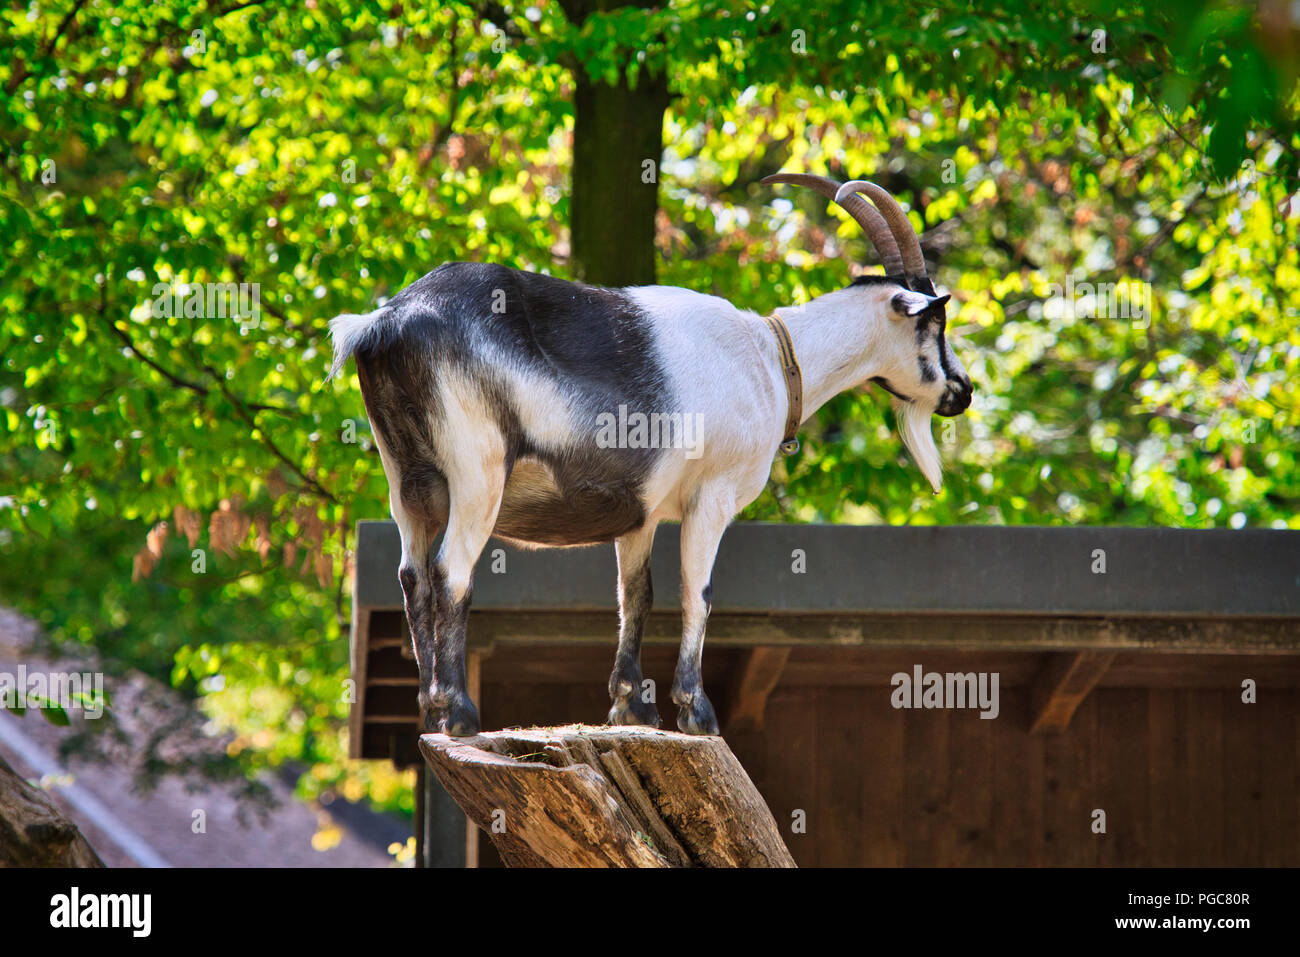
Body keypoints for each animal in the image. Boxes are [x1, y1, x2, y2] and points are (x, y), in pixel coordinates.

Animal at [328, 172, 973, 737]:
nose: (962, 391)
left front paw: (630, 708)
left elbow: (636, 594)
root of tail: (389, 320)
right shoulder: (712, 495)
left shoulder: (638, 513)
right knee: (450, 570)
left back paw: (430, 709)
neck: (771, 358)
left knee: (412, 574)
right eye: (935, 320)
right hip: (477, 470)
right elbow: (698, 590)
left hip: (406, 481)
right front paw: (696, 710)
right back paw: (458, 712)